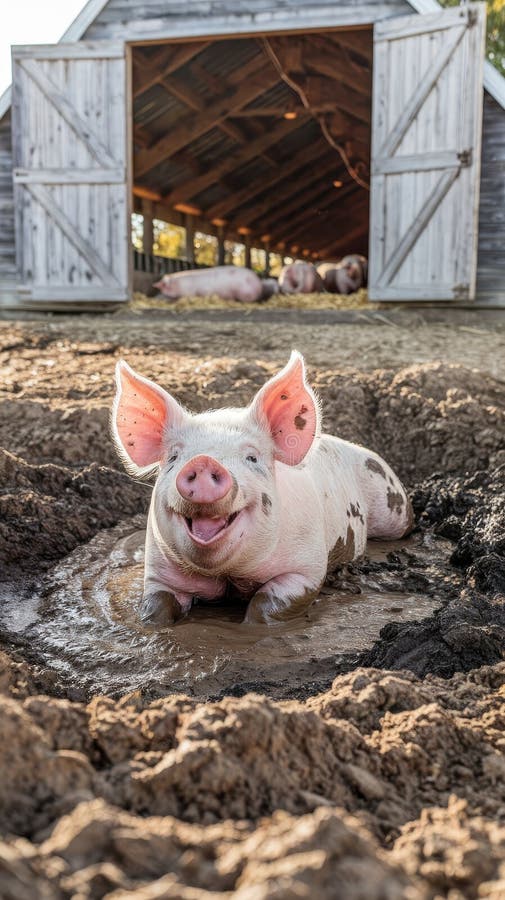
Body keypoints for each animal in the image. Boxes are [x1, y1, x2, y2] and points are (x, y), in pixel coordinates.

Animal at [112, 352, 413, 626]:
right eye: (174, 457)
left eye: (252, 458)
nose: (204, 461)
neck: (228, 575)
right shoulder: (159, 572)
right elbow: (157, 607)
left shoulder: (306, 569)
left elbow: (264, 606)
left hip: (393, 508)